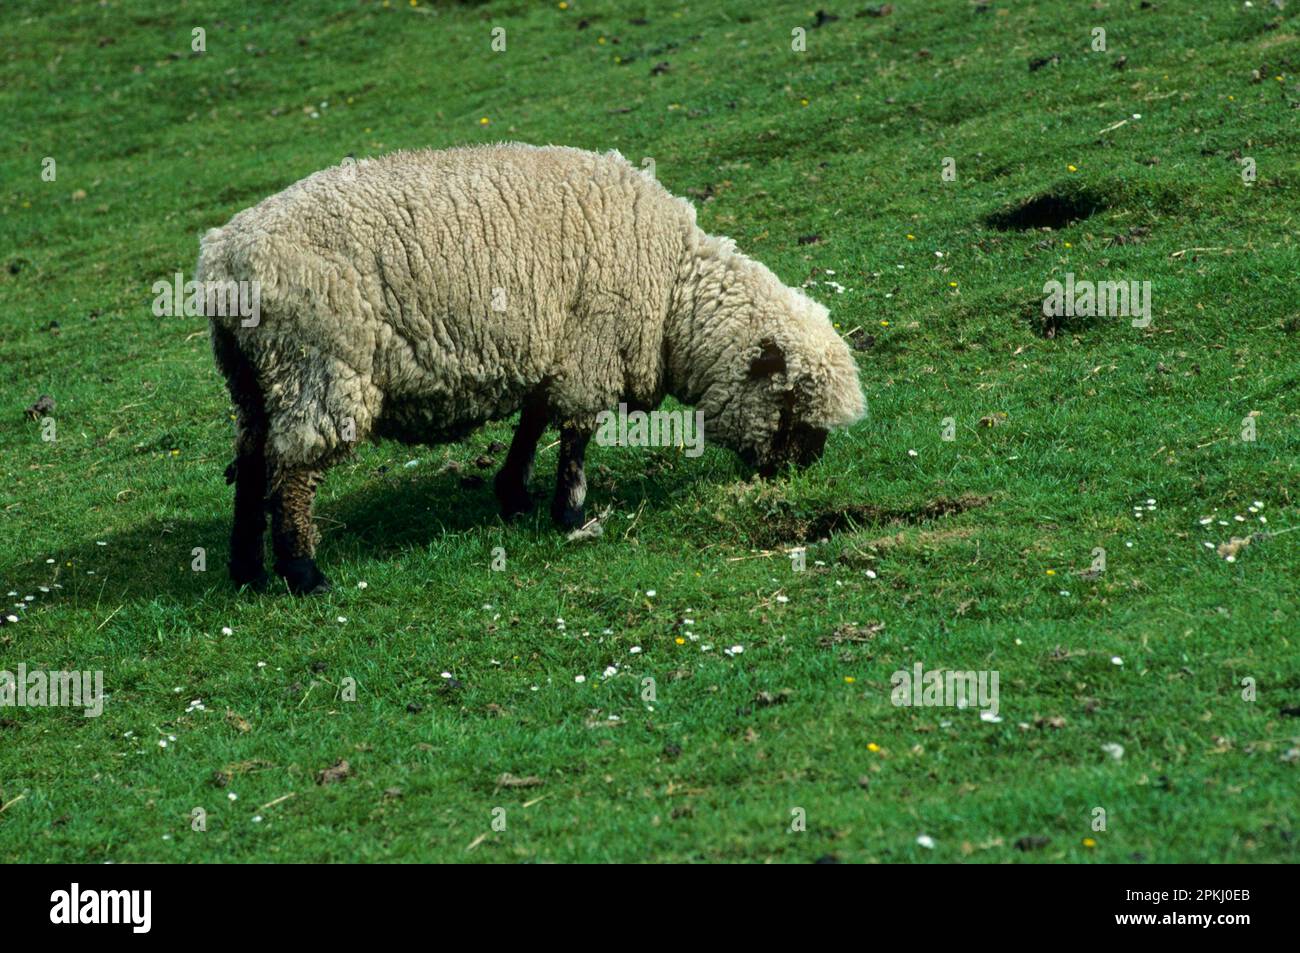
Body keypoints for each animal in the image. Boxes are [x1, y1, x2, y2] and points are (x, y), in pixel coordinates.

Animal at [199, 144, 865, 594]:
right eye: (791, 402)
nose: (802, 470)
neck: (674, 295)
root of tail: (221, 260)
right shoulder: (592, 347)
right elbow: (575, 435)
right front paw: (569, 513)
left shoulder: (555, 350)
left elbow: (533, 422)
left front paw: (514, 494)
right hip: (321, 365)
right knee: (293, 471)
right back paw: (303, 573)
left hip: (257, 376)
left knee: (253, 461)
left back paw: (247, 571)